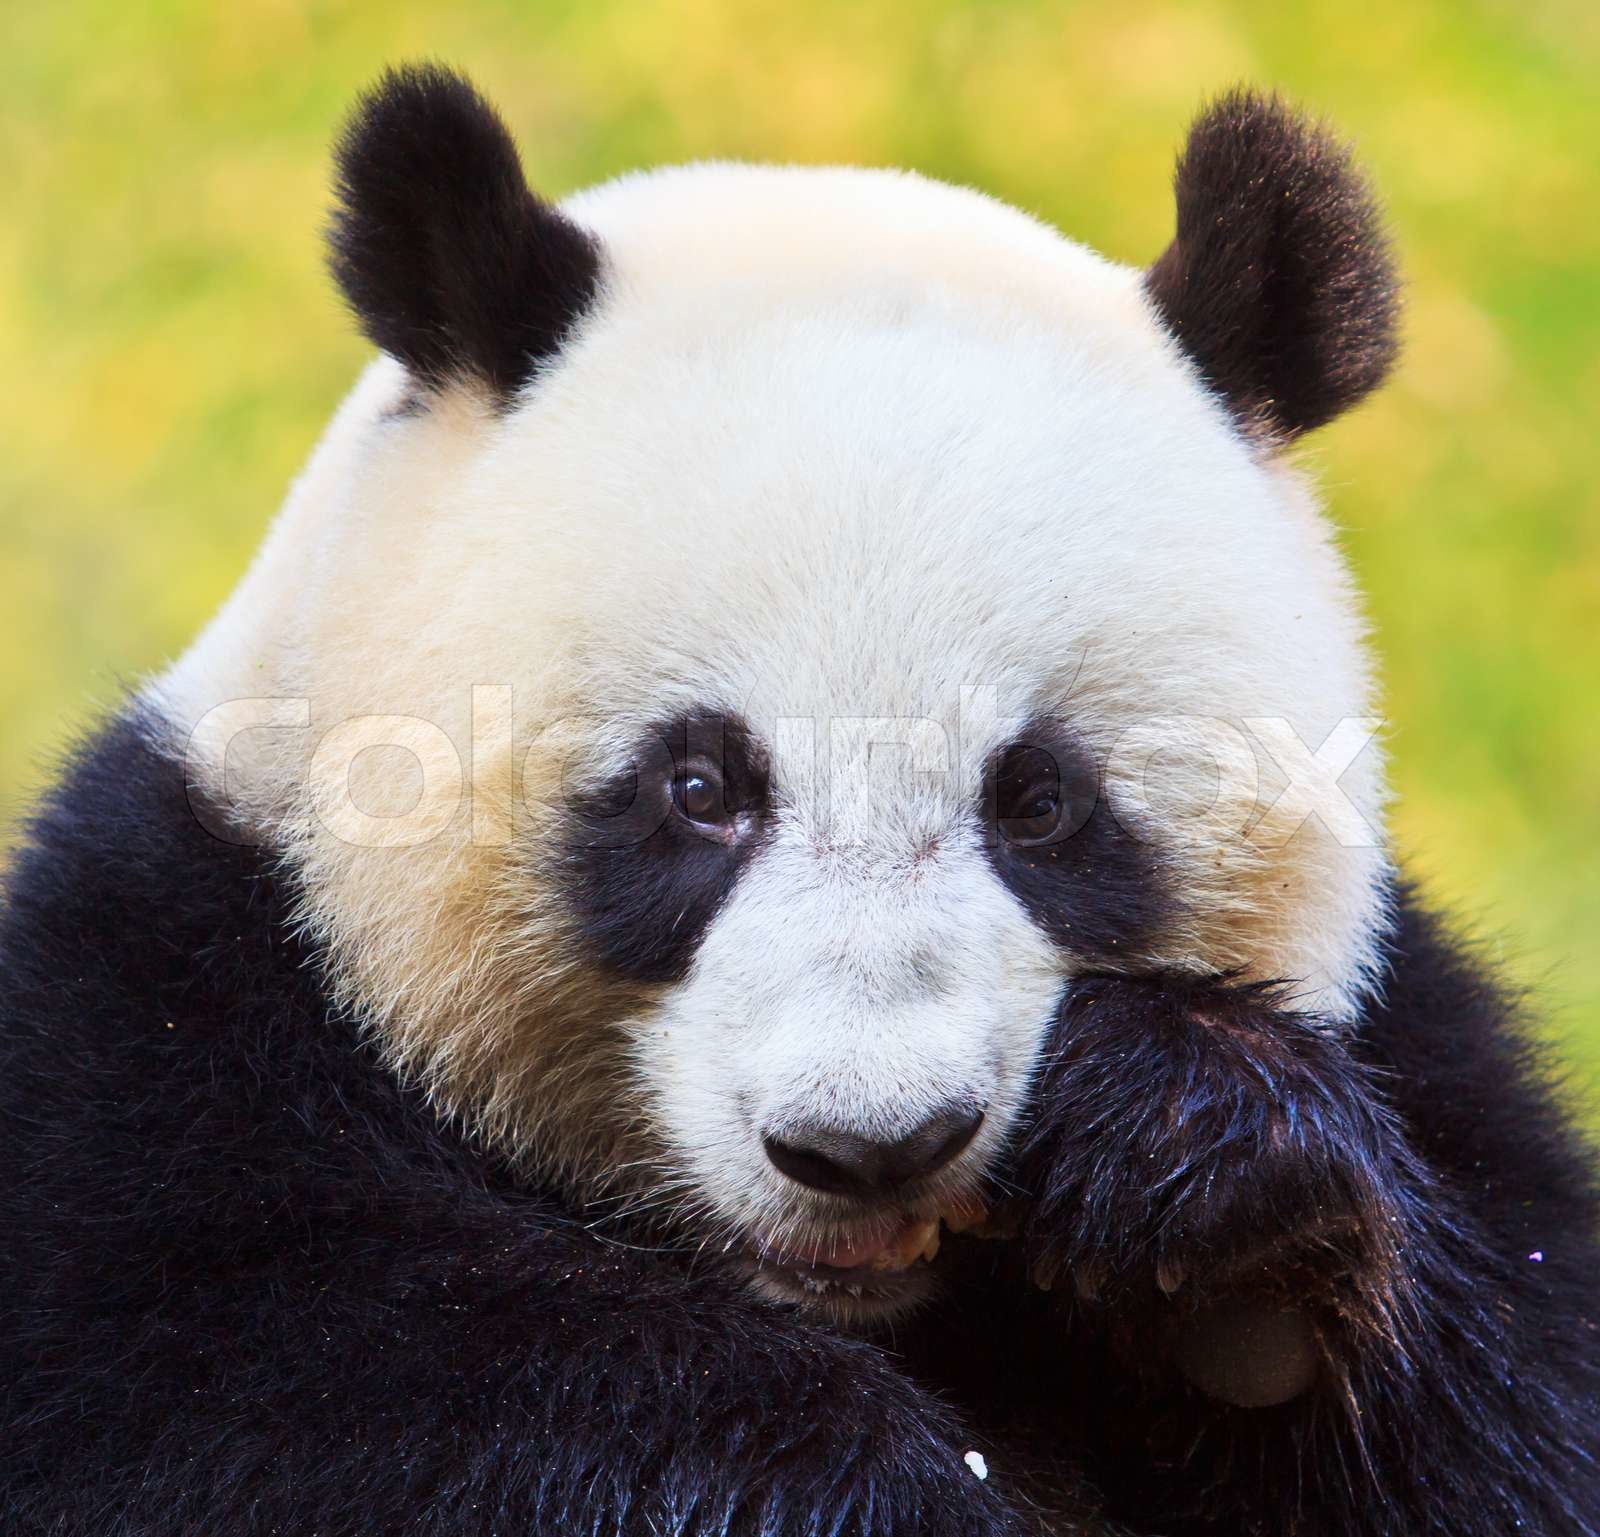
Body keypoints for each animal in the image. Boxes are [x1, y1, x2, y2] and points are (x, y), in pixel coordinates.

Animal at [2, 63, 1596, 1537]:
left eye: (1040, 803)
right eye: (701, 788)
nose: (872, 1144)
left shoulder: (1435, 1056)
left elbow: (1523, 1407)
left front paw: (1192, 1177)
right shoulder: (158, 1042)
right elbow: (302, 1372)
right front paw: (864, 1476)